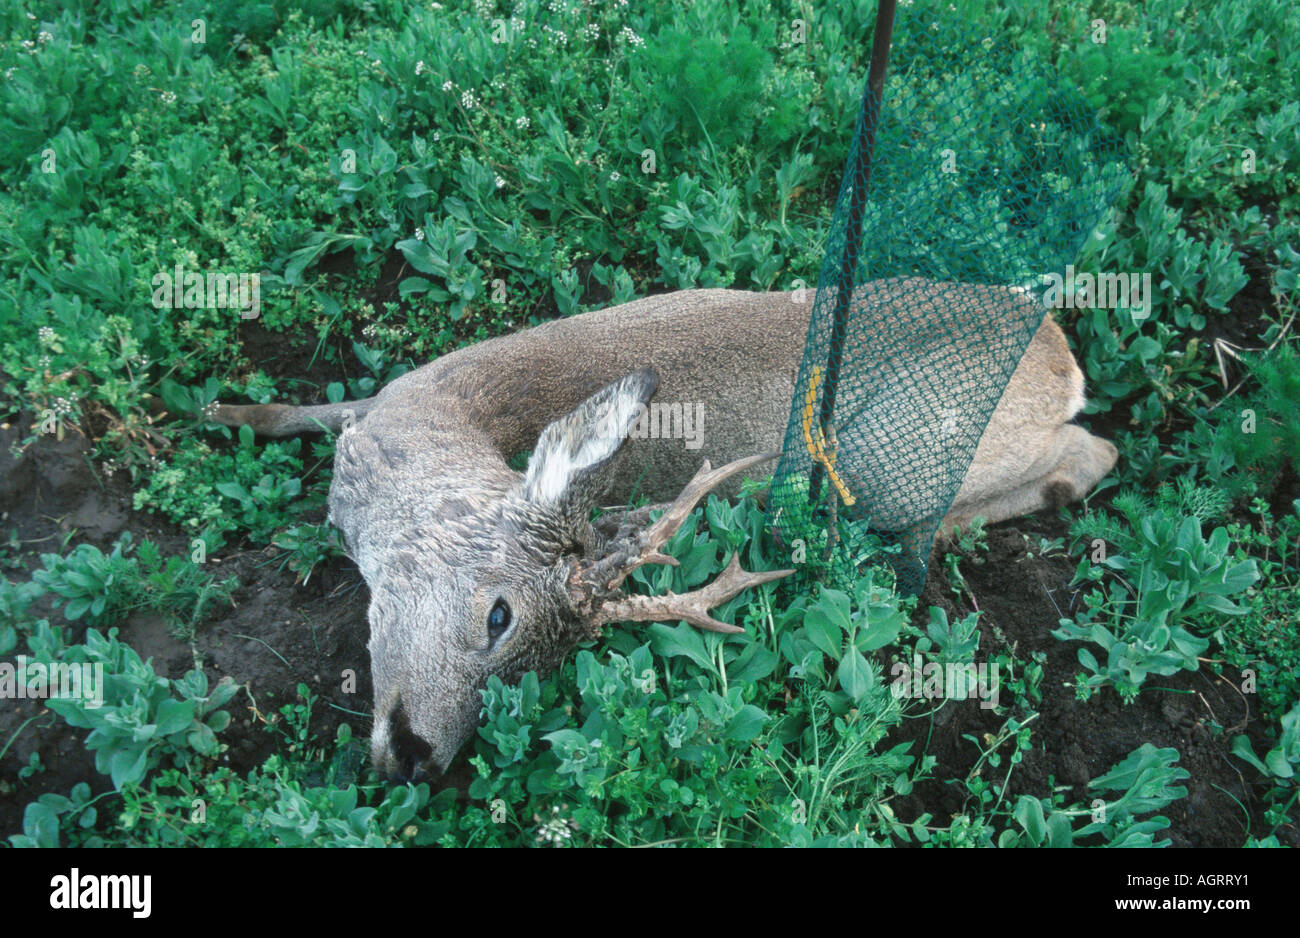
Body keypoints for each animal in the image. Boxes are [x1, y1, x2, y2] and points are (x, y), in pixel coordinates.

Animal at [212, 277, 1117, 781]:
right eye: (500, 615)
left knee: (1091, 454)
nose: (417, 758)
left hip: (897, 461)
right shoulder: (379, 404)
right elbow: (312, 406)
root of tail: (1062, 357)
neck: (438, 430)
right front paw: (224, 408)